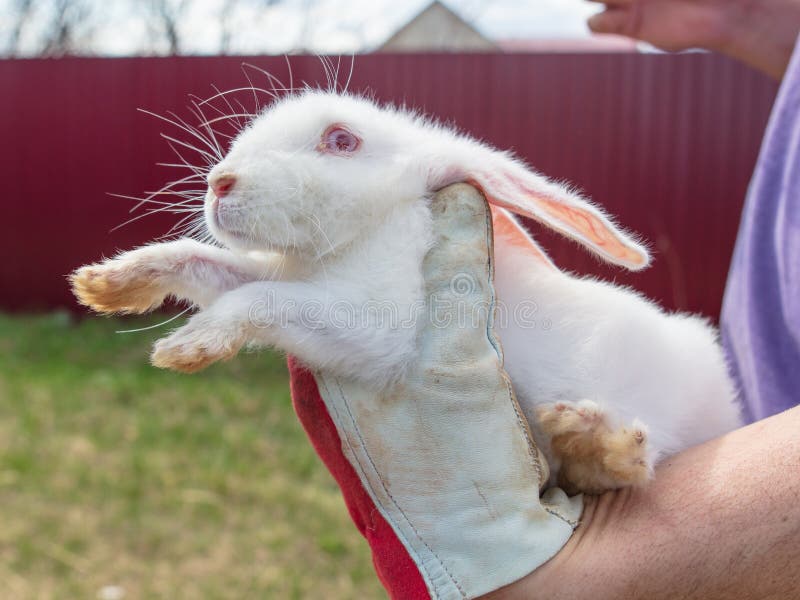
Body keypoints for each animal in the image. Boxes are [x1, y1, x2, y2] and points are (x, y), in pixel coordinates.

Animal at [71, 89, 743, 495]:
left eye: (342, 141)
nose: (219, 183)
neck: (371, 230)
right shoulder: (295, 276)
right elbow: (208, 264)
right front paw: (106, 283)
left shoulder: (378, 327)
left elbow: (258, 299)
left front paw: (187, 346)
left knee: (631, 466)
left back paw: (593, 440)